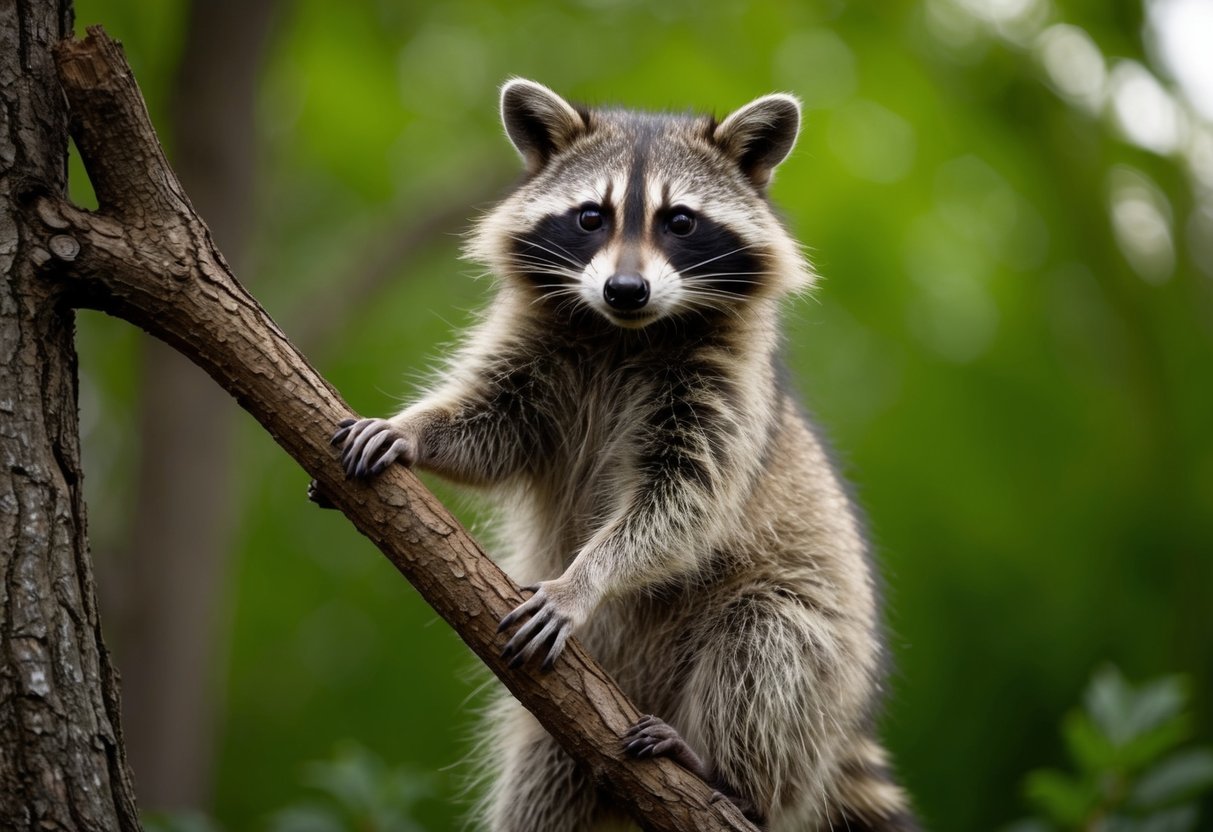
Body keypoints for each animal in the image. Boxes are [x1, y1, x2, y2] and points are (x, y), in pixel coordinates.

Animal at [332, 79, 919, 831]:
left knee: (767, 646)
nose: (625, 289)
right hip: (555, 747)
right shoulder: (537, 353)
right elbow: (491, 428)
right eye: (590, 217)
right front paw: (414, 428)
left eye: (680, 221)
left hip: (819, 654)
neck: (622, 332)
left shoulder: (722, 393)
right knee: (538, 798)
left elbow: (679, 505)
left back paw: (732, 777)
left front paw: (585, 579)